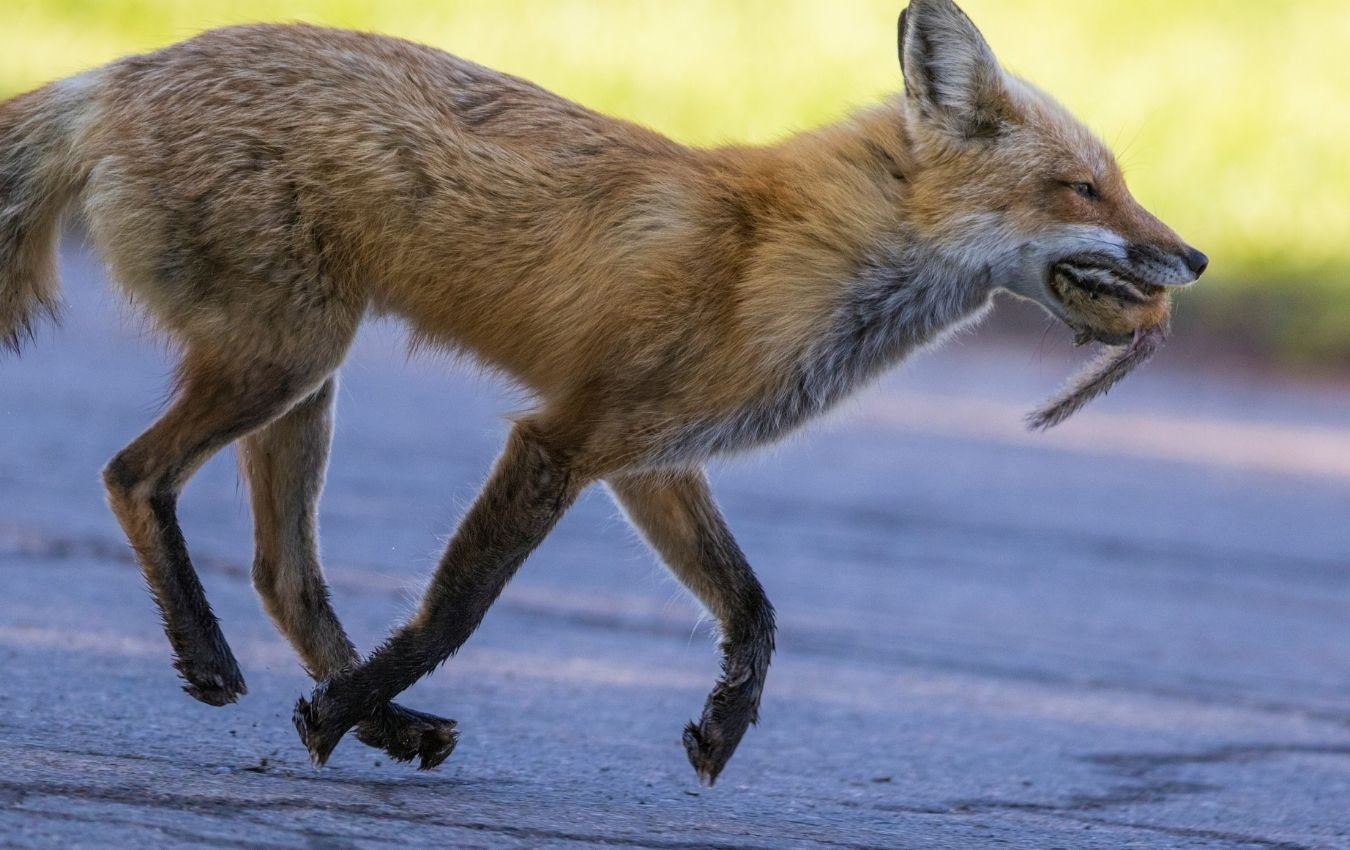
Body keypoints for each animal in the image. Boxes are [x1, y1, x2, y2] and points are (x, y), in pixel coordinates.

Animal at [0, 0, 1206, 784]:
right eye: (1081, 188)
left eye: (1124, 184)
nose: (1193, 258)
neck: (779, 257)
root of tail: (120, 72)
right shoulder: (563, 440)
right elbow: (455, 608)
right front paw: (334, 715)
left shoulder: (652, 459)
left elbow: (754, 609)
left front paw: (724, 729)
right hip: (281, 358)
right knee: (133, 476)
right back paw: (229, 667)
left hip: (304, 379)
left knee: (282, 574)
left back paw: (385, 726)